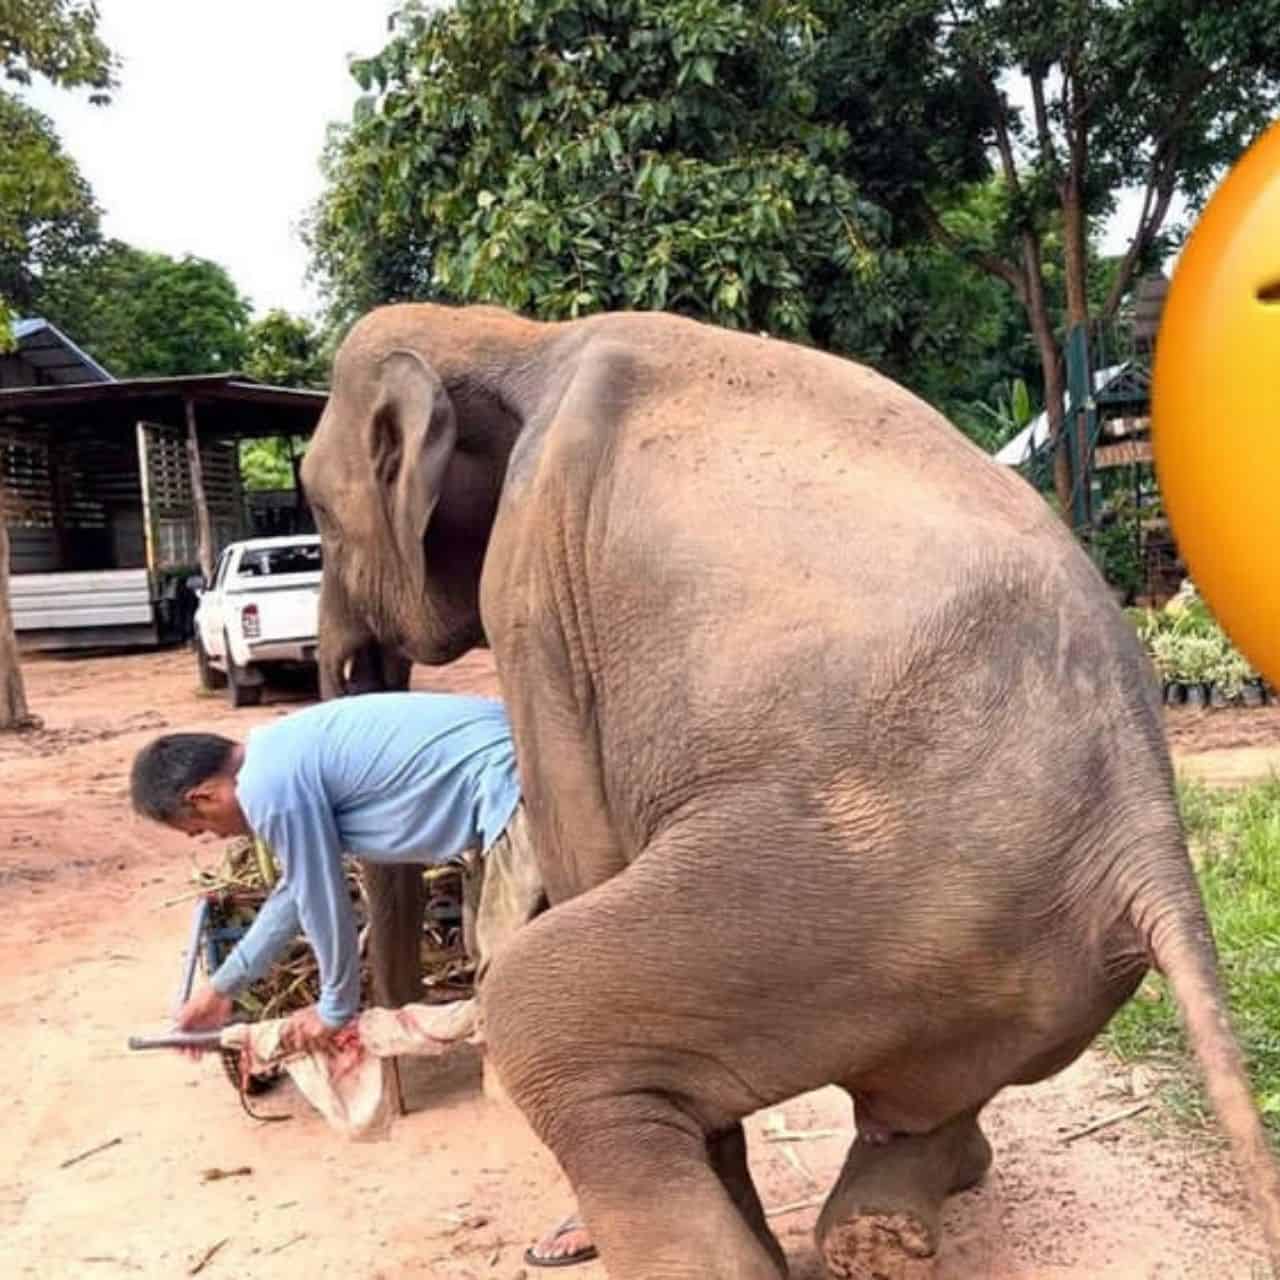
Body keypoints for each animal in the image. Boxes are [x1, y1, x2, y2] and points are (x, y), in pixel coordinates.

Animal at [299, 301, 1280, 1280]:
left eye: (314, 508)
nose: (384, 1093)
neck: (517, 335)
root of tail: (1148, 844)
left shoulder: (535, 585)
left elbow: (584, 842)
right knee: (931, 1094)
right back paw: (890, 1230)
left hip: (858, 905)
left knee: (545, 1017)